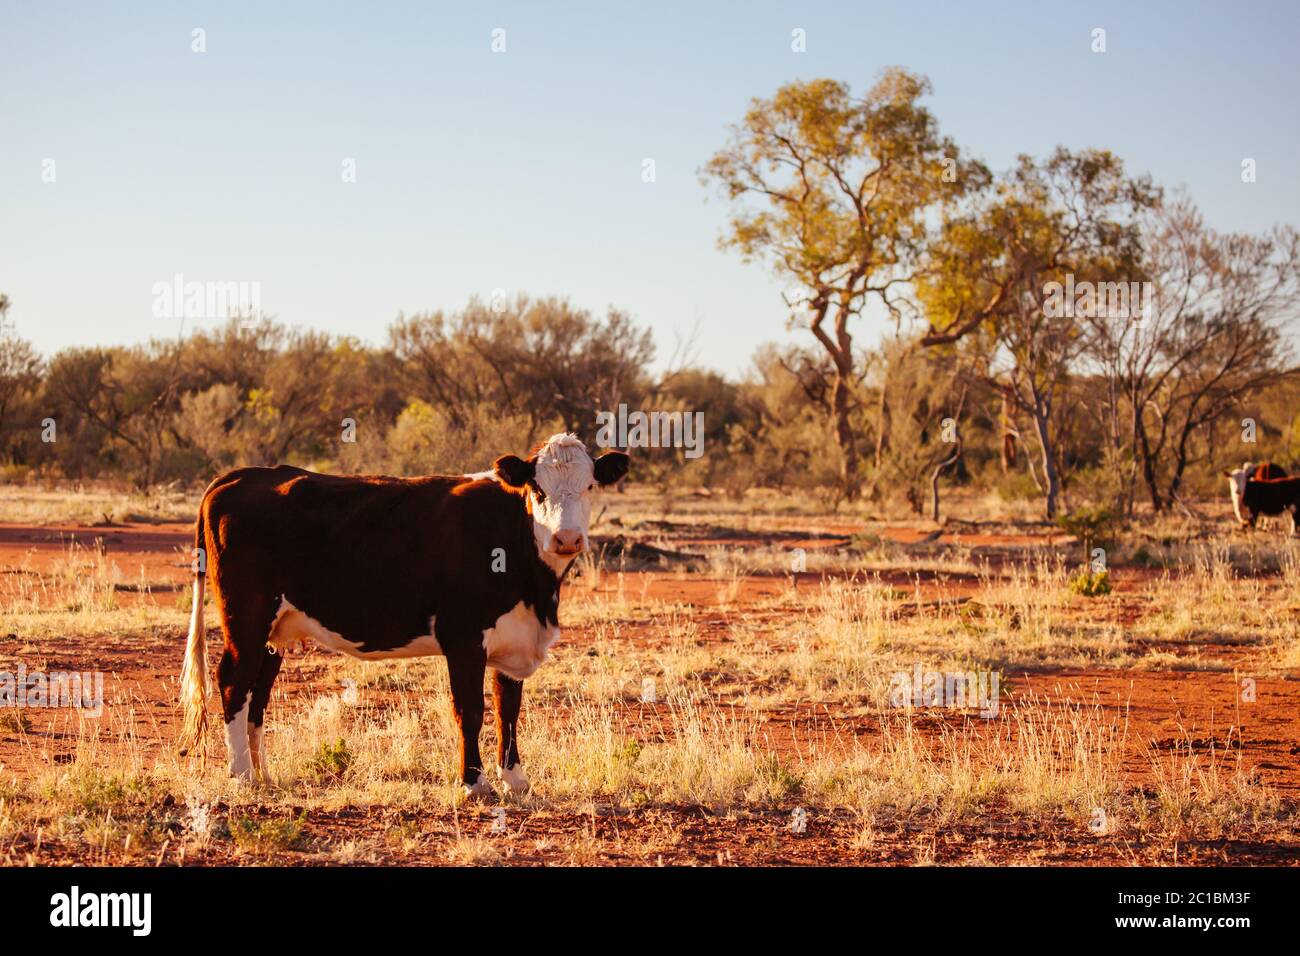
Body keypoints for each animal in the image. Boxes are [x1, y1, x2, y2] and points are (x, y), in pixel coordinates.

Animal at [178, 433, 630, 799]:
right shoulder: (463, 636)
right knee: (233, 681)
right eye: (537, 488)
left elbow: (508, 709)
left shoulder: (513, 636)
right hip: (246, 618)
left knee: (257, 692)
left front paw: (515, 779)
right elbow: (470, 710)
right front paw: (474, 783)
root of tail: (242, 476)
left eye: (590, 485)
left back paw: (263, 775)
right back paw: (241, 776)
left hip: (274, 630)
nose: (566, 539)